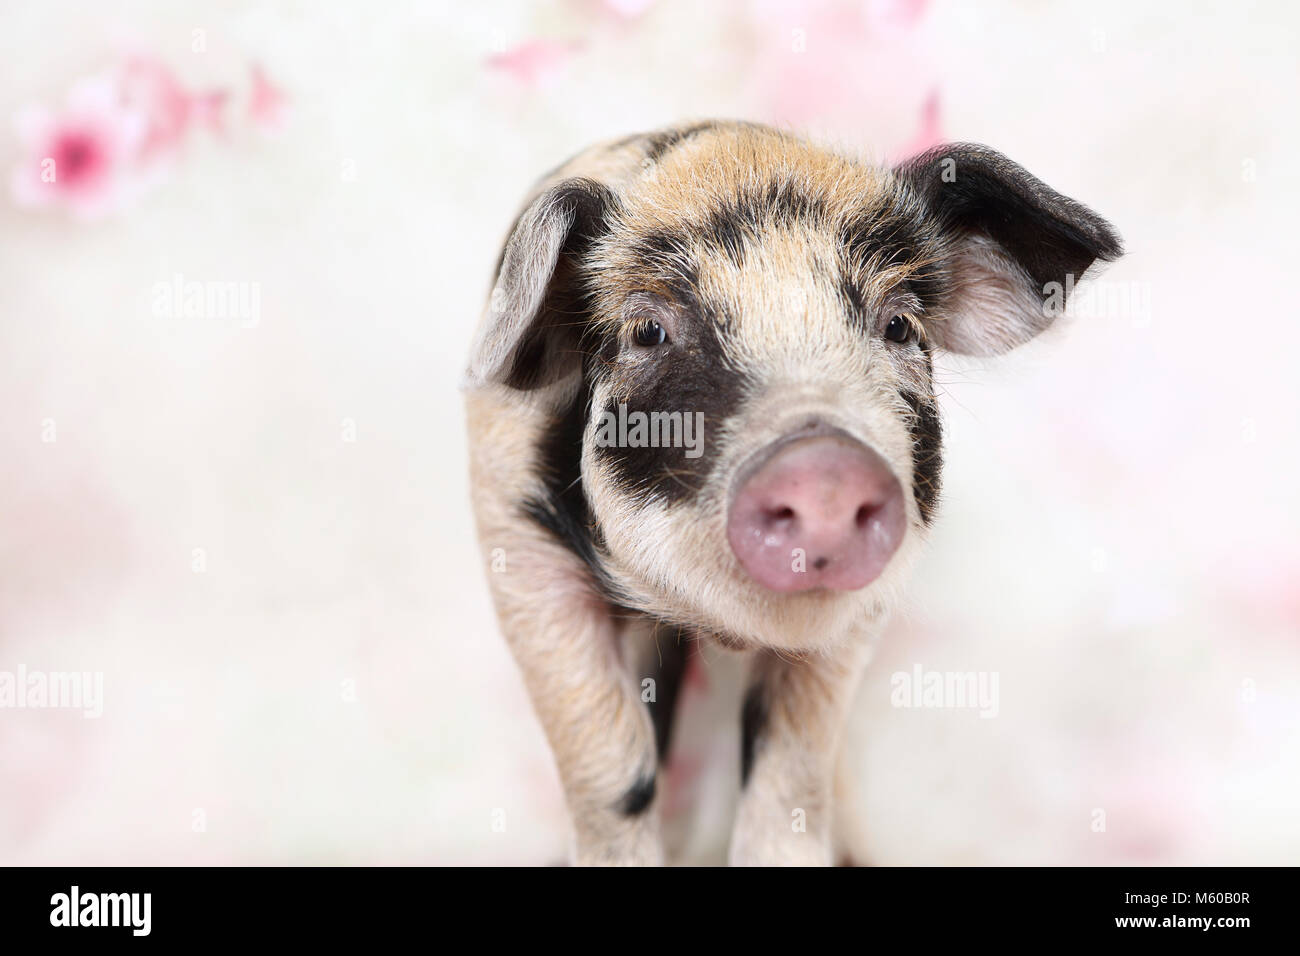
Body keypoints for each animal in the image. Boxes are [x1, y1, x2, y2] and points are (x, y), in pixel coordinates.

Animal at [463, 121, 1121, 865]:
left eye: (899, 325)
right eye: (648, 331)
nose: (825, 468)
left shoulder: (862, 614)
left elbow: (792, 774)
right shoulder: (518, 547)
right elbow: (609, 767)